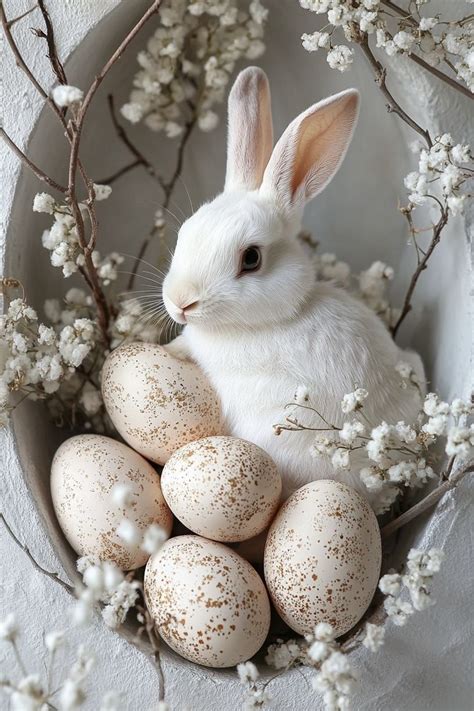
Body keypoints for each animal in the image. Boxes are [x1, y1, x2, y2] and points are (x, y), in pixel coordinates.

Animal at [161, 66, 424, 502]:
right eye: (184, 231)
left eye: (251, 258)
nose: (181, 302)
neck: (278, 317)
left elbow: (183, 349)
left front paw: (163, 349)